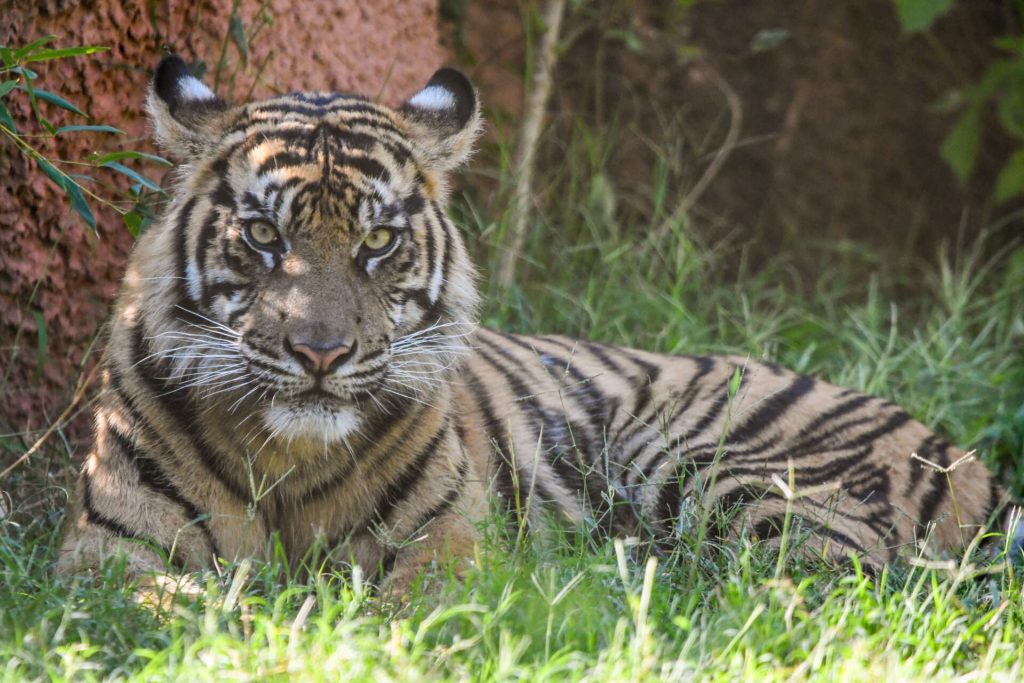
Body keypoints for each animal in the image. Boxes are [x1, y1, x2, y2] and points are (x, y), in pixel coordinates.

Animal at [57, 55, 1016, 594]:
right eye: (264, 235)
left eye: (377, 240)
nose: (322, 354)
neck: (289, 454)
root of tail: (962, 448)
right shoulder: (109, 558)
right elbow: (160, 610)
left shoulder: (444, 546)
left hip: (732, 472)